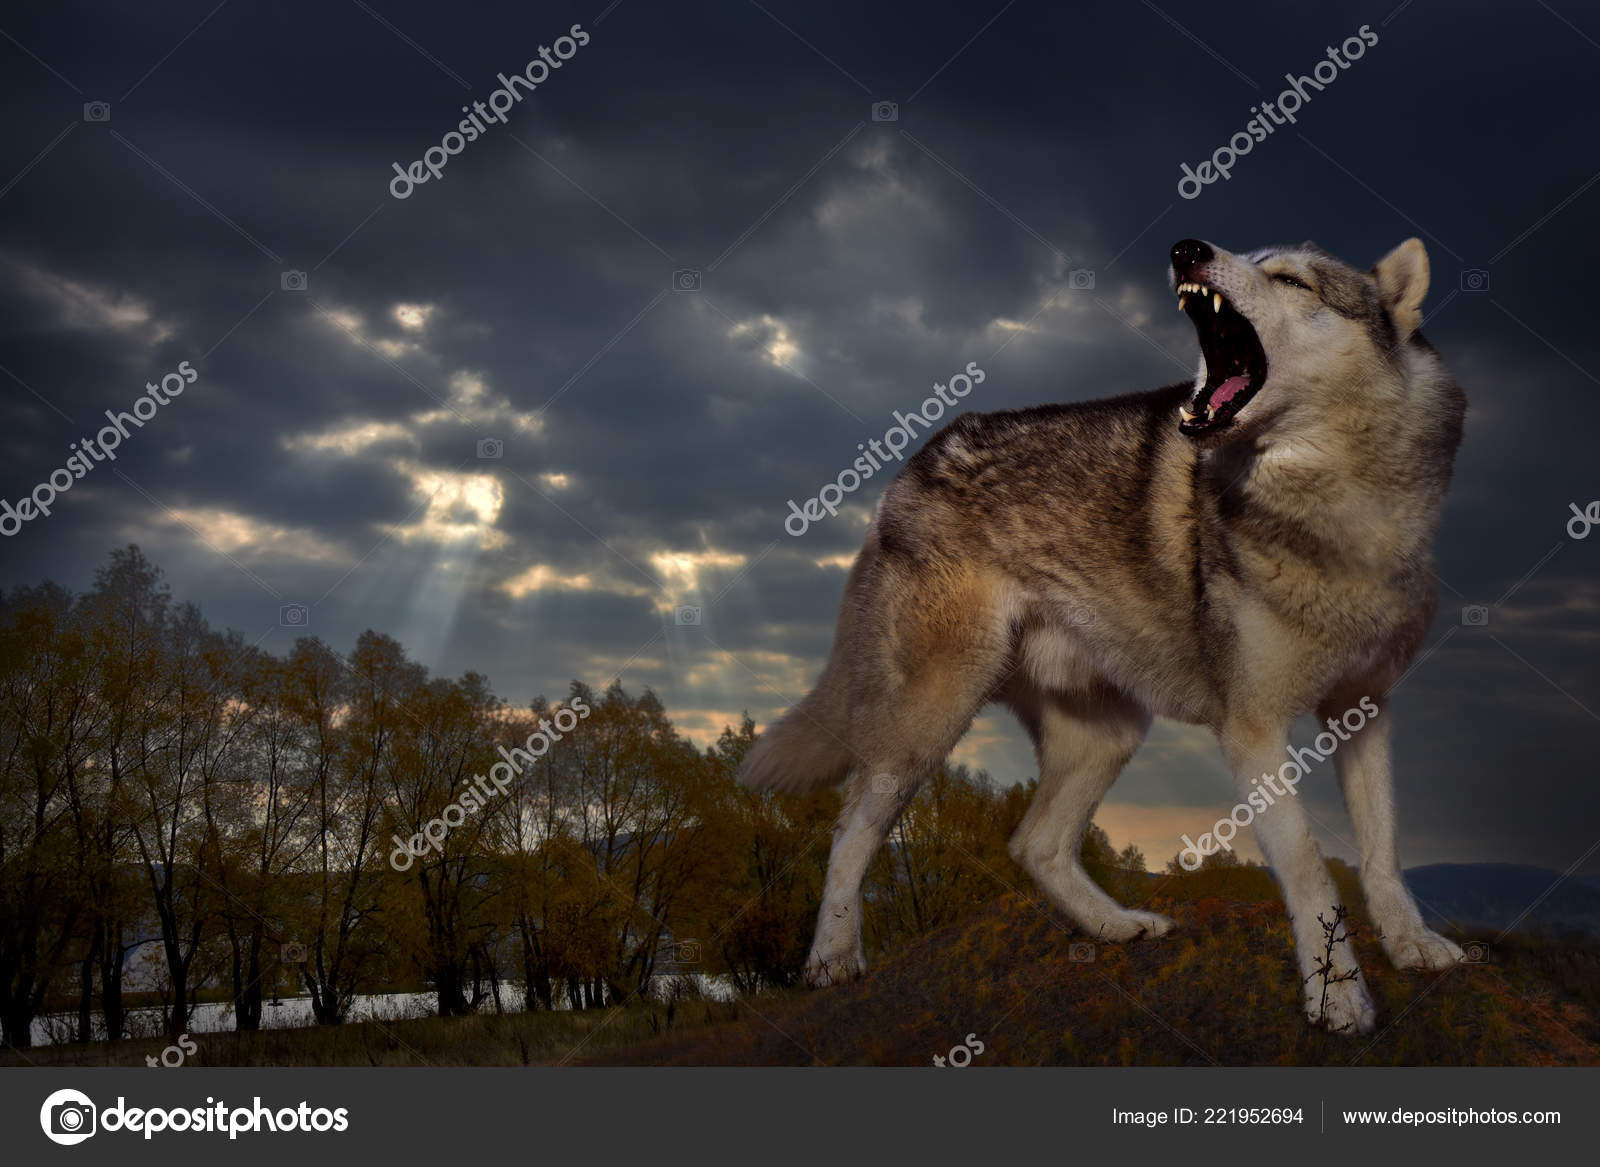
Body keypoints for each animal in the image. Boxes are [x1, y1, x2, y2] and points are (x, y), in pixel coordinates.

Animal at [738, 237, 1467, 1034]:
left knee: (1034, 844)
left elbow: (1382, 850)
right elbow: (1309, 868)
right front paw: (1337, 997)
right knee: (849, 833)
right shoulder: (1255, 730)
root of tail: (915, 460)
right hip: (926, 726)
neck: (1337, 512)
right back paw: (833, 961)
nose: (1188, 248)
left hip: (1110, 733)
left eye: (1290, 278)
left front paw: (1413, 946)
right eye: (1252, 257)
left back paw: (1115, 927)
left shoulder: (1363, 709)